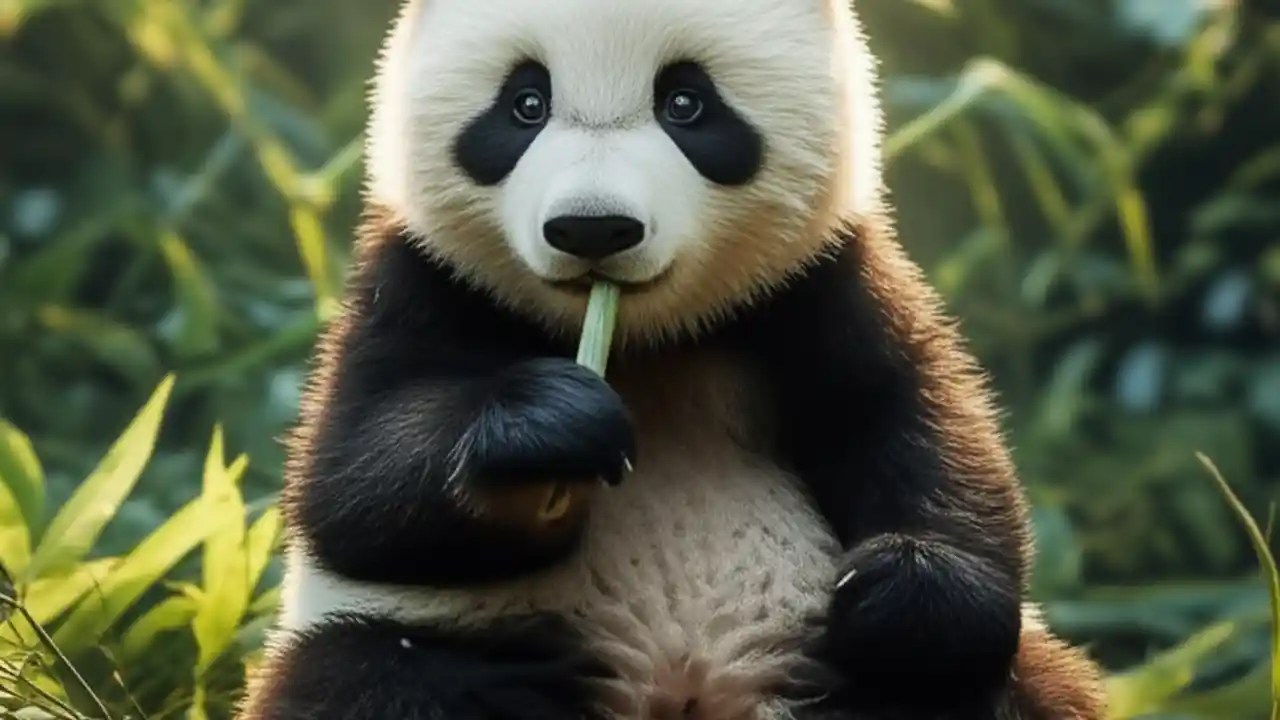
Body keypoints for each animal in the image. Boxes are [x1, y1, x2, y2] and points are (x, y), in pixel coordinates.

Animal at [238, 0, 1108, 718]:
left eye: (685, 102)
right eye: (524, 105)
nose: (593, 229)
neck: (645, 342)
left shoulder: (822, 284)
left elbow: (919, 427)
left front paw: (902, 586)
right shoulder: (418, 280)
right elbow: (351, 480)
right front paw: (546, 430)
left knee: (1016, 691)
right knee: (366, 679)